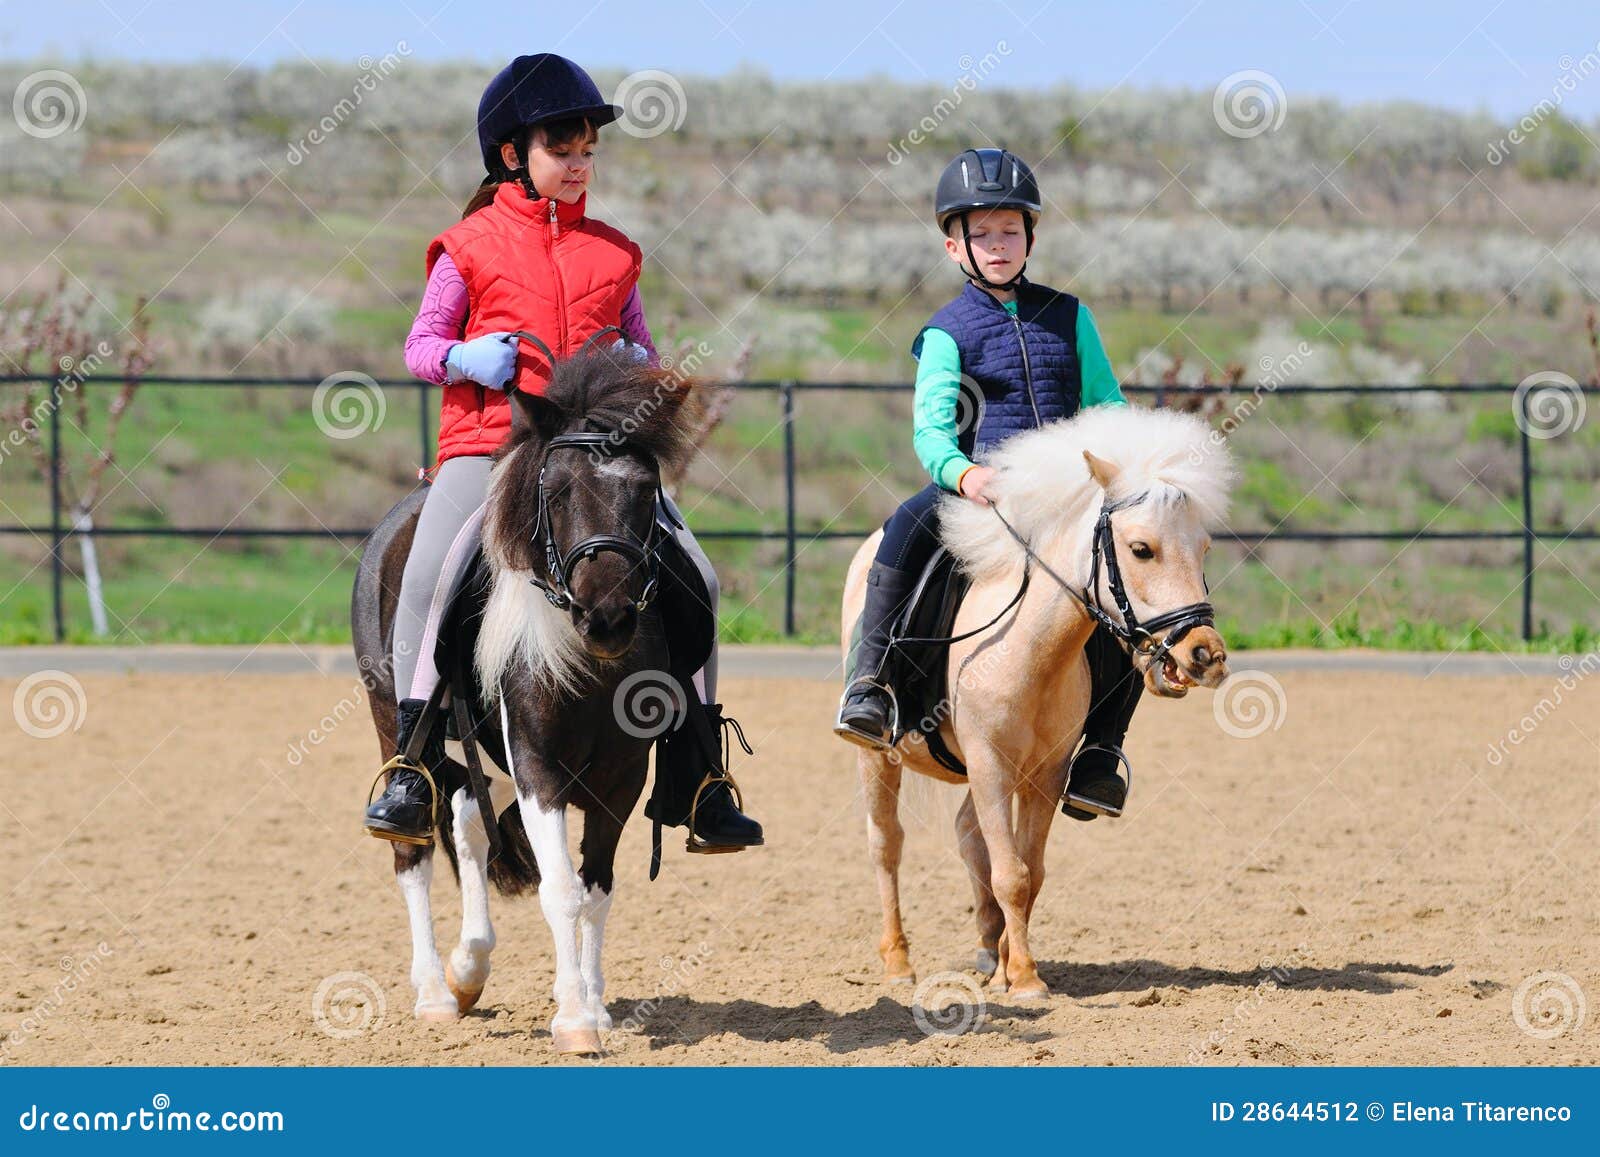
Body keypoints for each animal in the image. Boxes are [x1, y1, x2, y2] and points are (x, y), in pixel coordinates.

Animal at [352, 346, 703, 1054]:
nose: (608, 619)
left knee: (465, 817)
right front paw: (573, 1019)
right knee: (413, 849)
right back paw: (435, 993)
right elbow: (561, 890)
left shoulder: (621, 778)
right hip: (389, 720)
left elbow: (595, 890)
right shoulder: (540, 766)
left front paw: (593, 1006)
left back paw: (467, 970)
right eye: (558, 490)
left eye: (646, 492)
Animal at [839, 404, 1236, 998]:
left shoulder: (1044, 772)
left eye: (1204, 548)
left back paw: (987, 948)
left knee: (968, 834)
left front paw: (1011, 965)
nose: (1204, 654)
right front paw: (1025, 979)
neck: (1029, 651)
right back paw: (897, 962)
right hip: (879, 756)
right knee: (886, 843)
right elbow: (1013, 872)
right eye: (1141, 549)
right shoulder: (990, 763)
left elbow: (1030, 871)